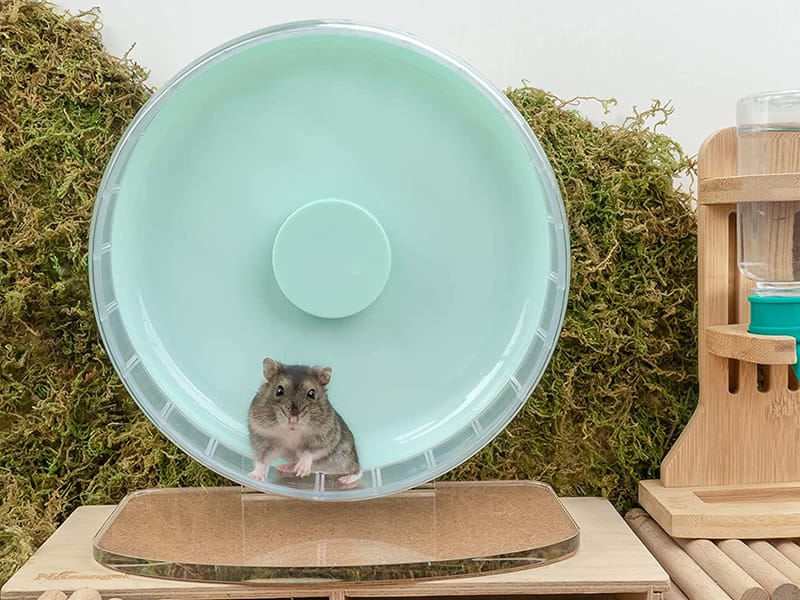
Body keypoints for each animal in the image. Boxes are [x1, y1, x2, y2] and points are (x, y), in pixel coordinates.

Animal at [247, 357, 362, 486]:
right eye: (279, 390)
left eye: (312, 393)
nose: (293, 420)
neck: (291, 432)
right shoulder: (261, 439)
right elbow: (261, 460)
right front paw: (254, 476)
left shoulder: (324, 440)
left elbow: (308, 453)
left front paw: (302, 471)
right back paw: (284, 467)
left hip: (343, 458)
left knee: (358, 470)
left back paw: (346, 480)